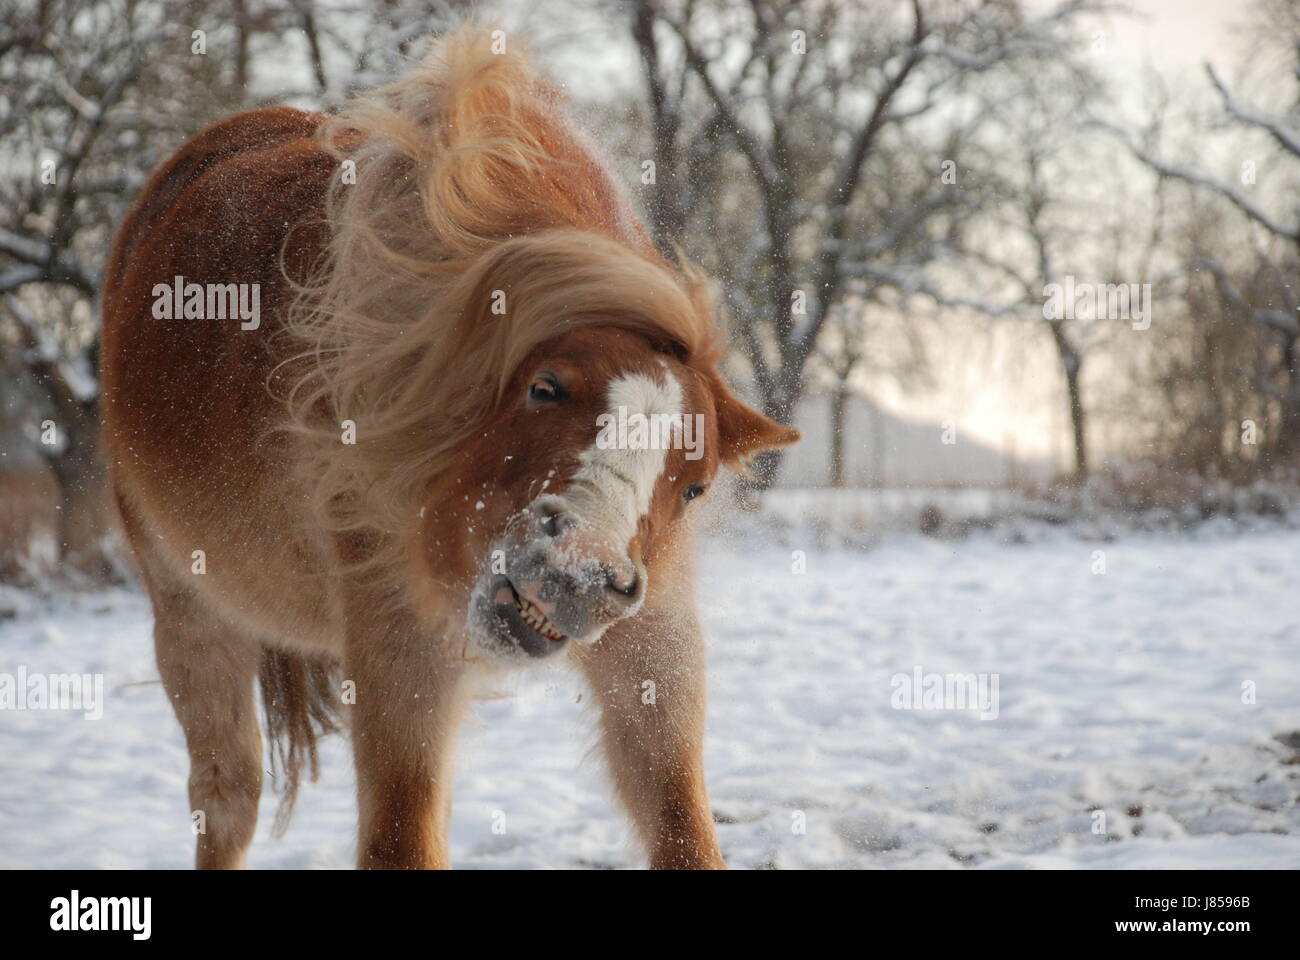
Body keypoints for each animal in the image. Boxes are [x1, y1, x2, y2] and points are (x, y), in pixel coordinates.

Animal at [99, 25, 799, 870]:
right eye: (544, 389)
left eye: (693, 486)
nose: (578, 575)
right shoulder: (400, 647)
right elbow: (400, 835)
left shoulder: (650, 643)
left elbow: (682, 821)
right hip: (190, 610)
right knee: (226, 798)